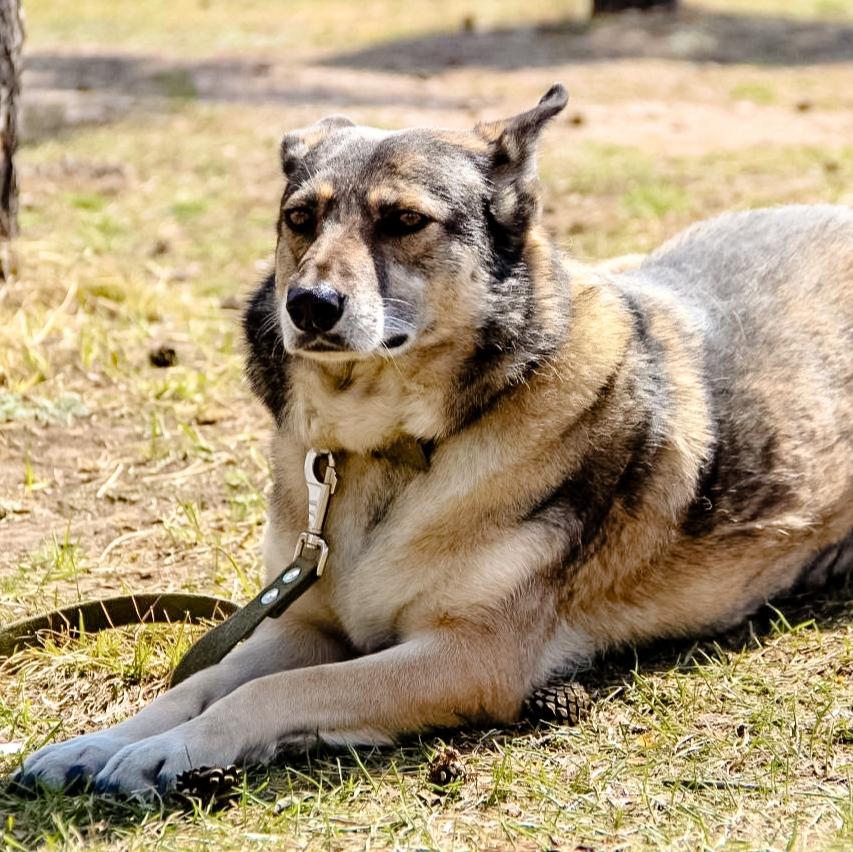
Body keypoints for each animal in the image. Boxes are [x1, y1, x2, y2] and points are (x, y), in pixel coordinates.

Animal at [16, 86, 852, 800]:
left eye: (405, 221)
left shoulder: (467, 659)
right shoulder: (304, 625)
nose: (307, 305)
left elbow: (277, 691)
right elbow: (199, 683)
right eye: (300, 218)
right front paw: (99, 744)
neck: (385, 446)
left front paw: (173, 752)